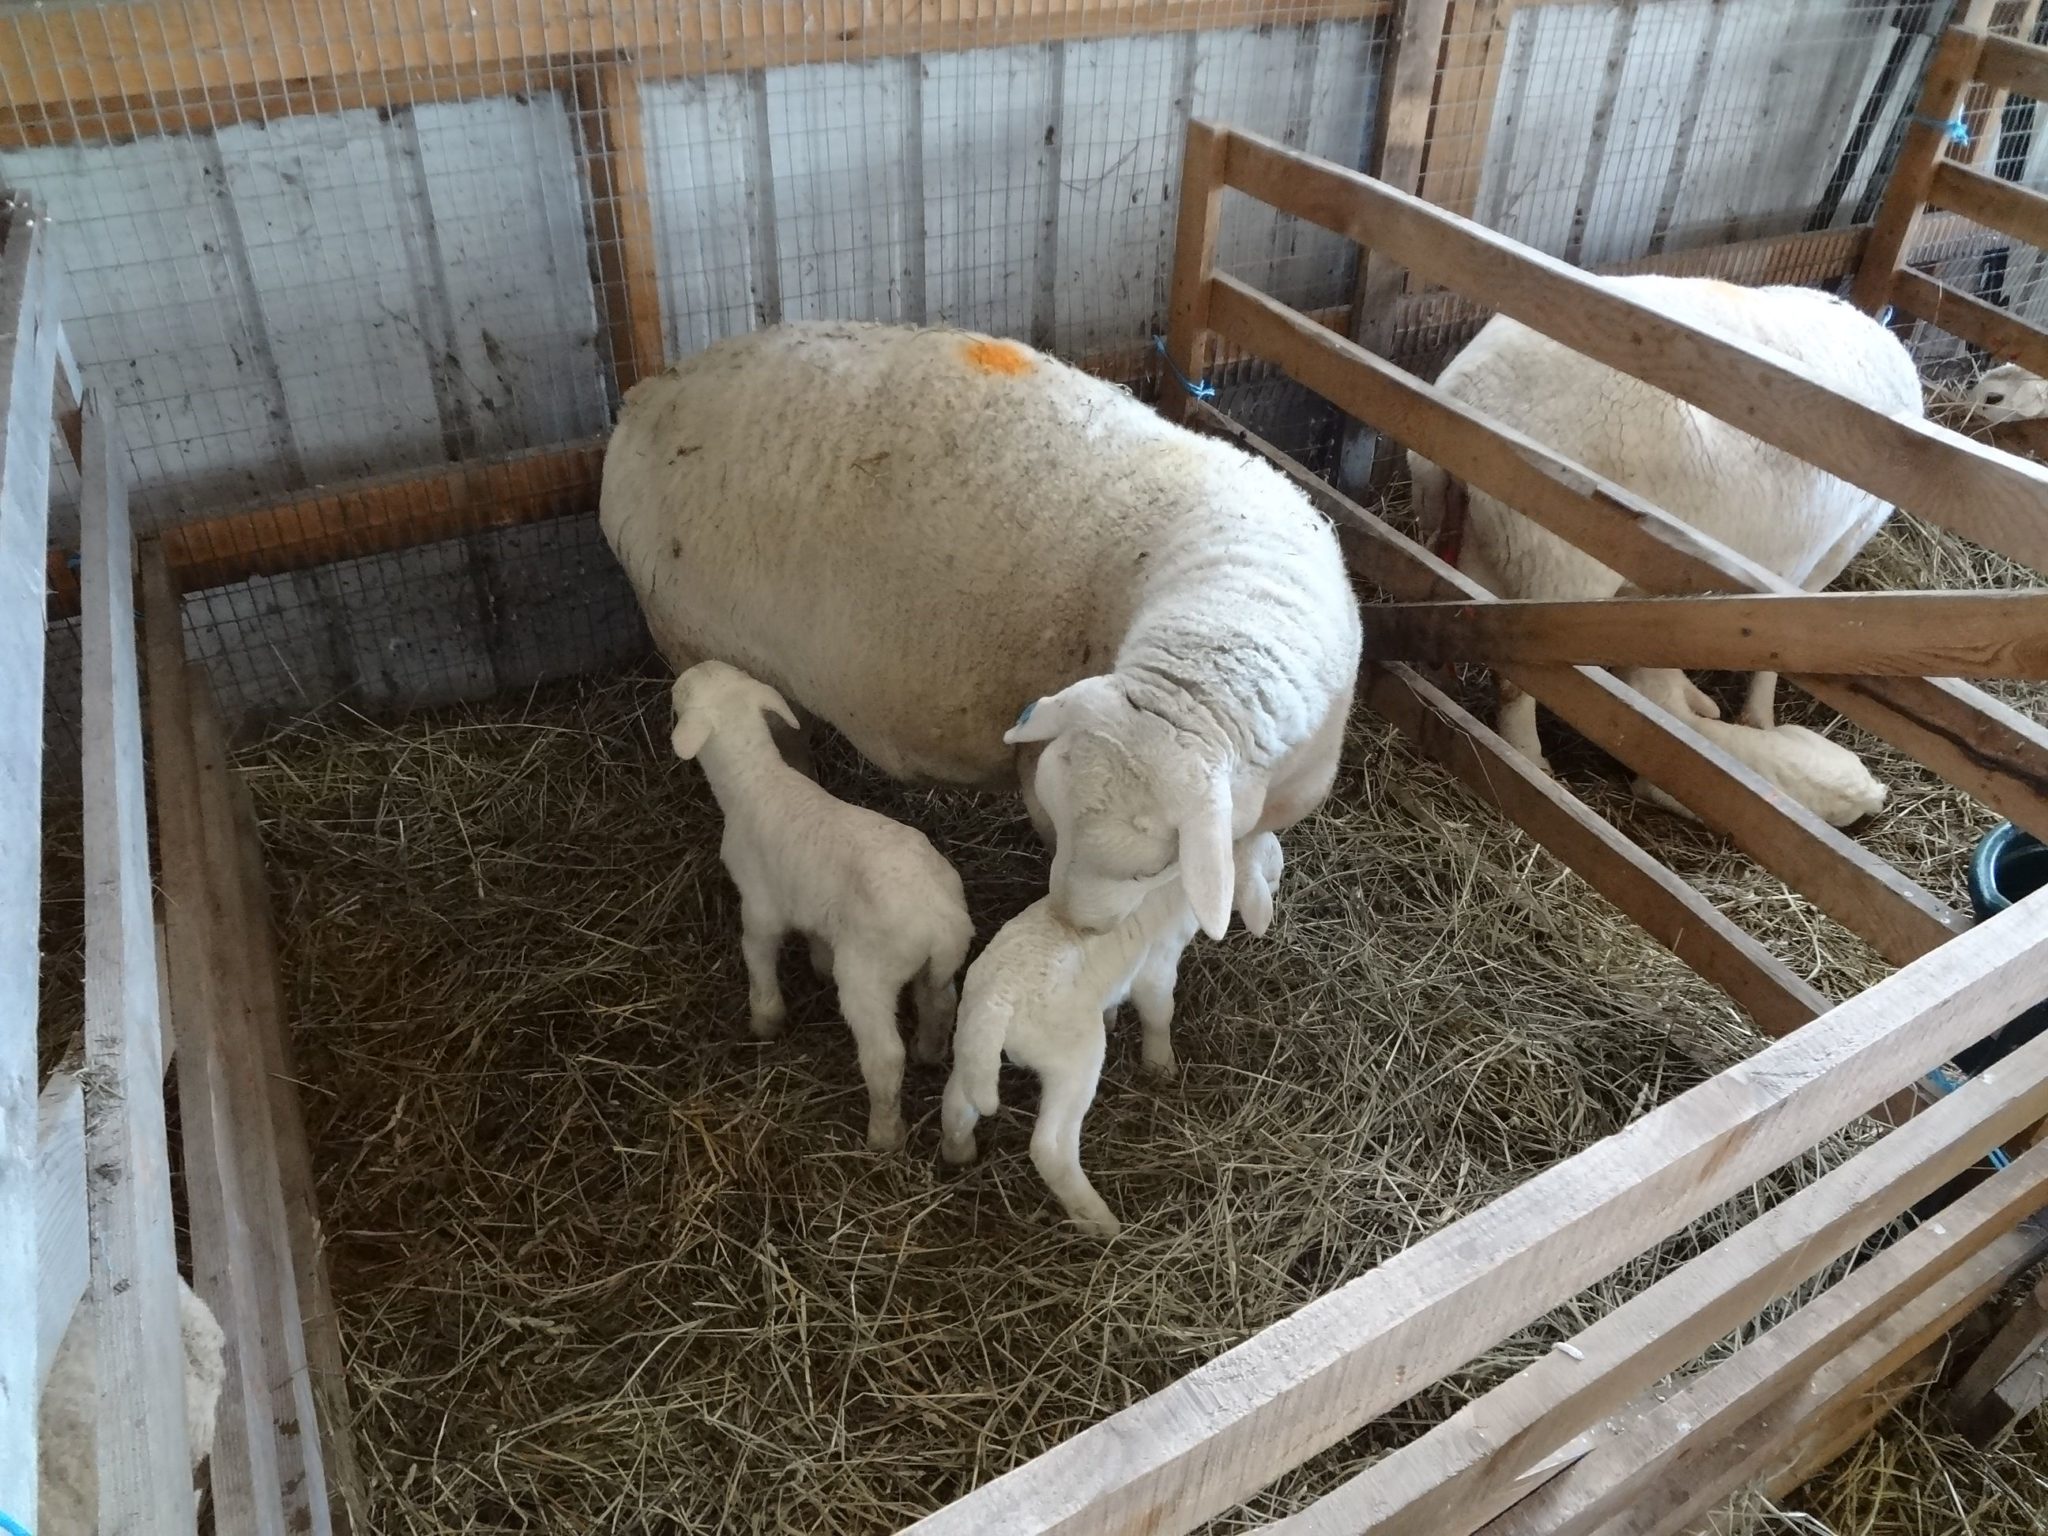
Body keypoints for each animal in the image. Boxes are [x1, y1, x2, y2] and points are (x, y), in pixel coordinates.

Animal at [671, 660, 974, 1151]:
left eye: (679, 696)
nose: (696, 665)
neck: (753, 776)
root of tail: (941, 917)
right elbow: (816, 939)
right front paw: (817, 966)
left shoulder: (760, 906)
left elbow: (757, 955)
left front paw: (765, 1022)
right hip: (937, 963)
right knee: (941, 1002)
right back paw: (930, 1052)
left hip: (869, 973)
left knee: (885, 1056)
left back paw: (884, 1133)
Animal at [939, 834, 1286, 1237]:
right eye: (1272, 873)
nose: (1277, 887)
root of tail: (998, 1003)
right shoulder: (1157, 966)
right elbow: (1158, 1014)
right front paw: (1160, 1066)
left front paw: (1112, 1018)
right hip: (1073, 1059)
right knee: (1051, 1147)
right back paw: (1099, 1221)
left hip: (972, 1044)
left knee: (957, 1104)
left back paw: (959, 1154)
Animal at [1406, 275, 1921, 811]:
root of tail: (1468, 393)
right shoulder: (1824, 558)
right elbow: (1785, 652)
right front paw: (1759, 716)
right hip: (1554, 562)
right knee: (1519, 681)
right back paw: (1528, 758)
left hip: (1482, 551)